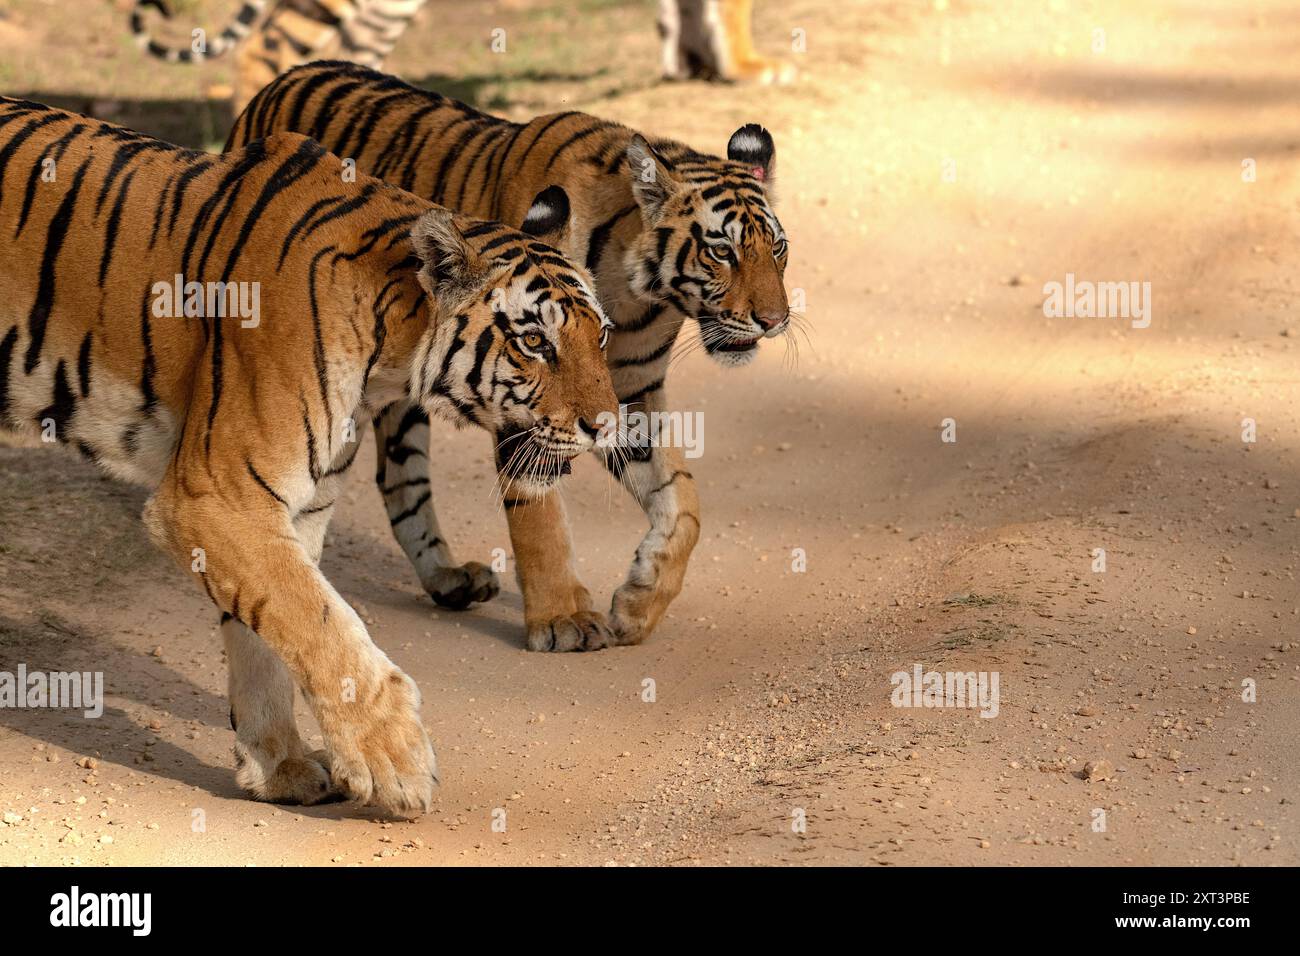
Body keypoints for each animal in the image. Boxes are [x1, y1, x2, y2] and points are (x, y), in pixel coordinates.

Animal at [0, 95, 617, 812]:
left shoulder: (291, 508)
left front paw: (281, 768)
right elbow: (322, 623)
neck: (390, 353)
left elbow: (267, 633)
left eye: (600, 336)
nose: (608, 426)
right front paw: (395, 762)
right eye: (535, 342)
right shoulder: (216, 495)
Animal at [229, 61, 792, 653]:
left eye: (778, 249)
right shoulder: (523, 394)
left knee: (399, 479)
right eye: (722, 251)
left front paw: (639, 603)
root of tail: (278, 81)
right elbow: (538, 512)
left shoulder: (627, 394)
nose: (775, 320)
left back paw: (449, 579)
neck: (641, 296)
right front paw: (564, 620)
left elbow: (682, 502)